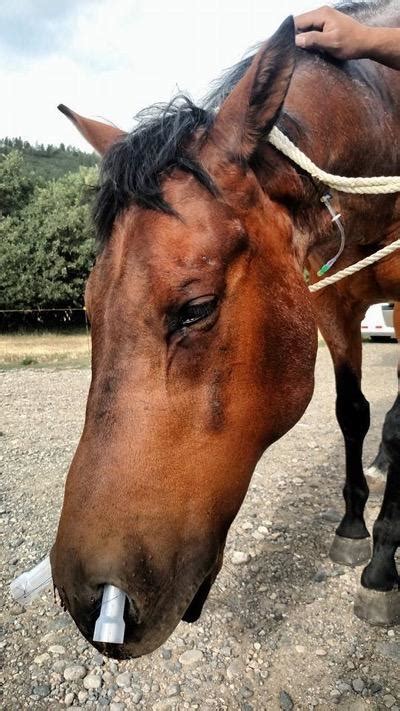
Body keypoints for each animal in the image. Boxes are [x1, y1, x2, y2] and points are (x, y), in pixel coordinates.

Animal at [51, 0, 400, 658]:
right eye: (86, 307)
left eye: (196, 308)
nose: (90, 600)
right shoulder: (332, 302)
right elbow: (353, 412)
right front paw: (352, 528)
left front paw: (382, 567)